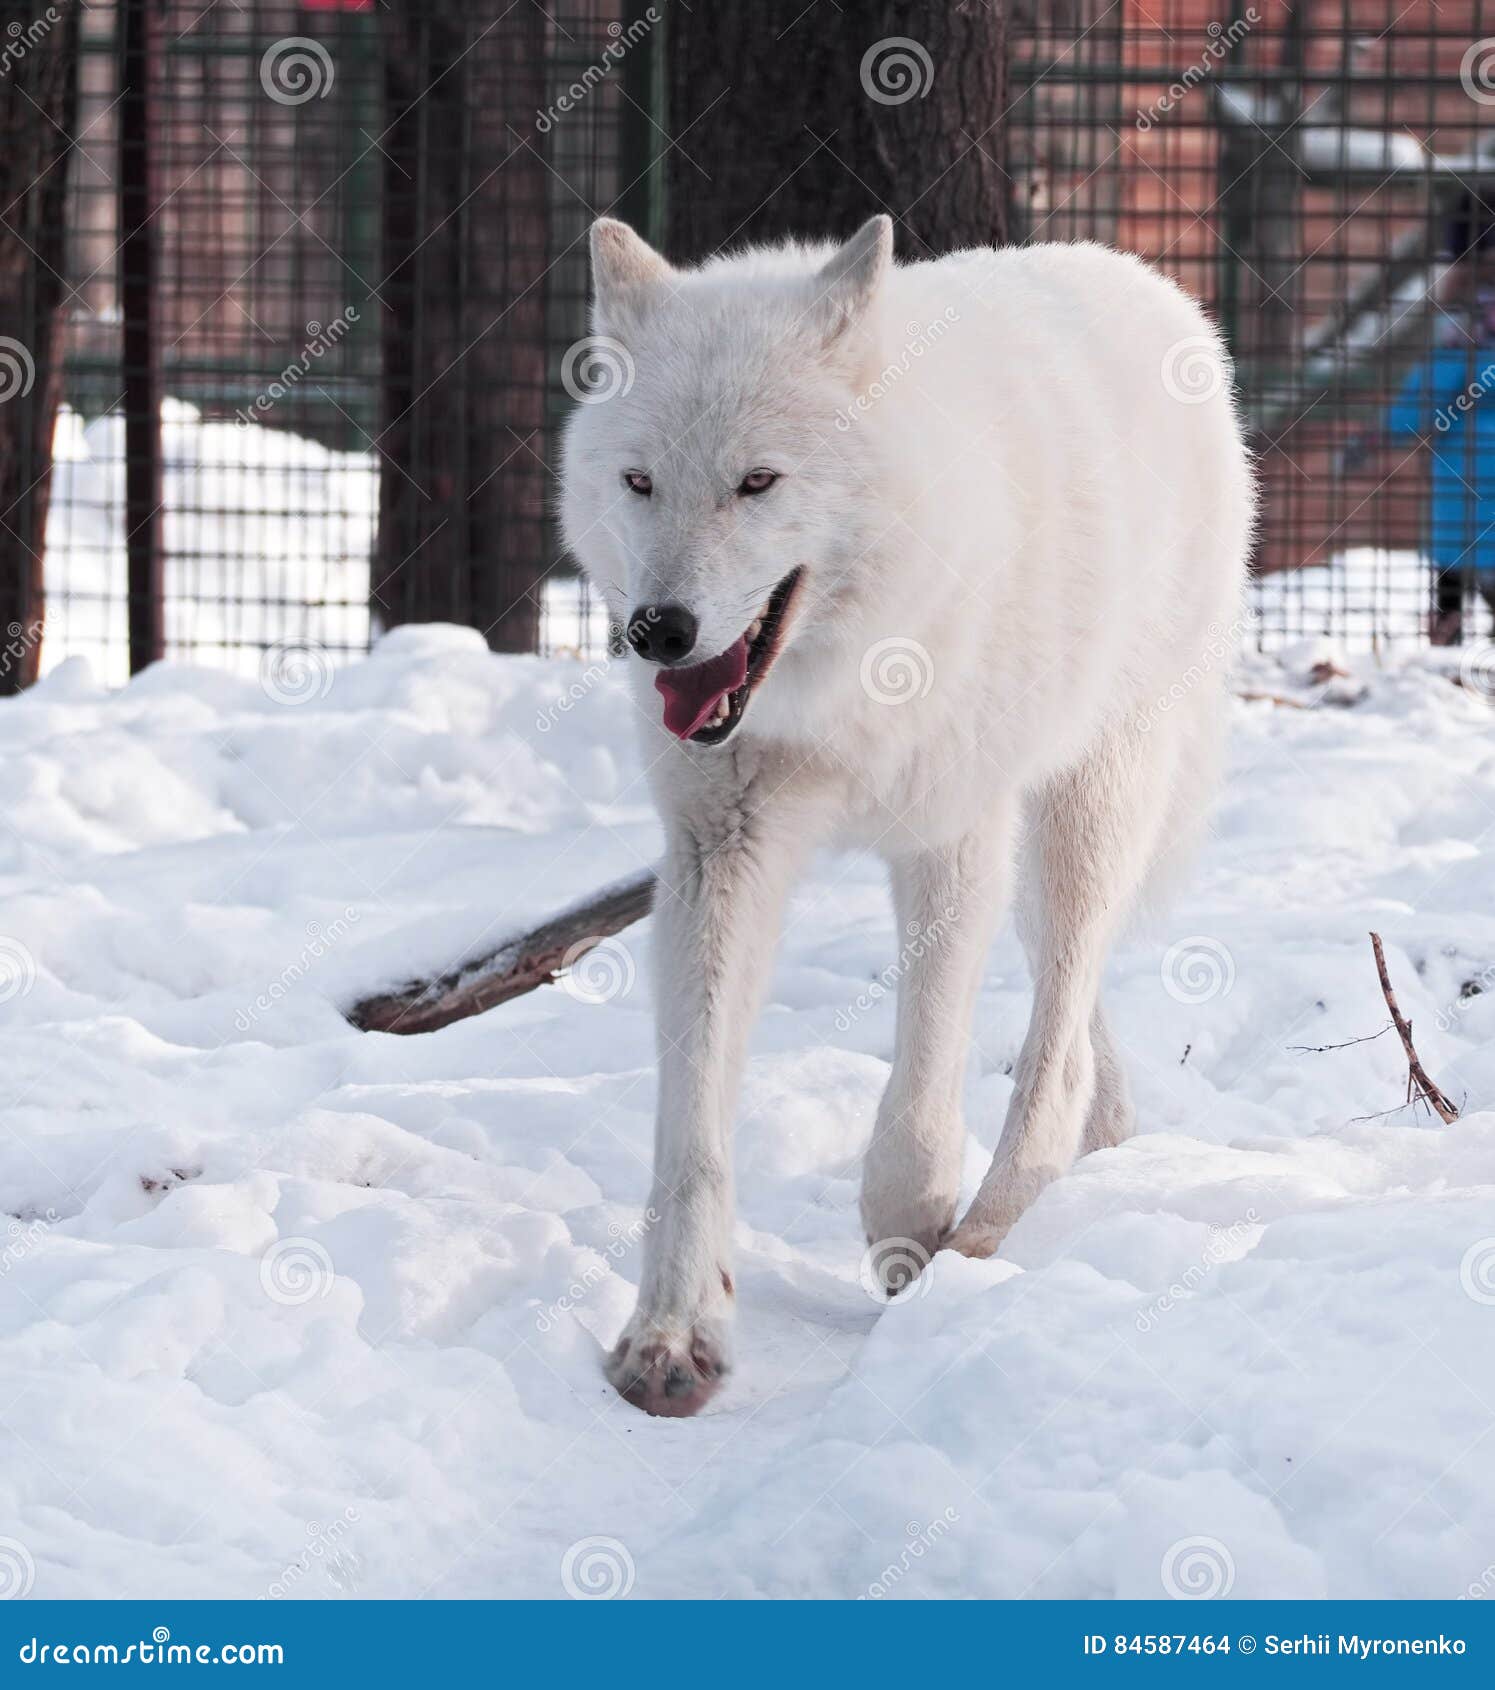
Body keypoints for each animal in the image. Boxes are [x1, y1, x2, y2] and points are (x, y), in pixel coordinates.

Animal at [560, 215, 1253, 1417]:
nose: (659, 629)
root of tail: (1137, 274)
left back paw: (985, 1237)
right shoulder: (717, 850)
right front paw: (673, 1335)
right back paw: (1103, 1152)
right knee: (1080, 1029)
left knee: (1056, 1039)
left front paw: (910, 1225)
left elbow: (922, 1082)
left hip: (1086, 808)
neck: (834, 690)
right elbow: (691, 1123)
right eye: (639, 481)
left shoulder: (950, 831)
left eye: (757, 481)